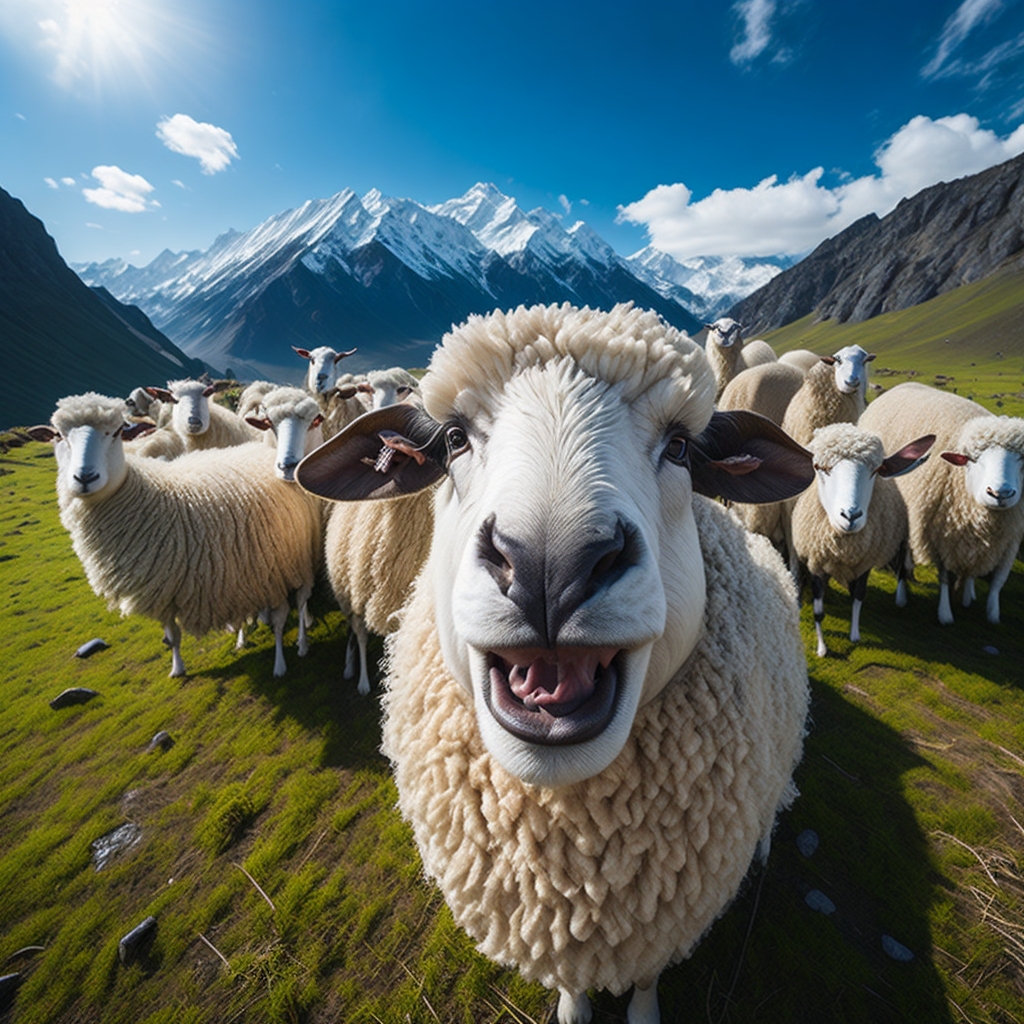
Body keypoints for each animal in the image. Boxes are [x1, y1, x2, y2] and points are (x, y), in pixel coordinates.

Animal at [30, 393, 322, 678]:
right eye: (58, 435)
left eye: (116, 432)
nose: (85, 477)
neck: (144, 493)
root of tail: (261, 450)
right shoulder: (165, 589)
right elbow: (172, 637)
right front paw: (177, 668)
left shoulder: (277, 573)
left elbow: (280, 622)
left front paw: (281, 664)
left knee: (299, 601)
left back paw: (299, 640)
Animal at [296, 302, 813, 1024]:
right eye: (452, 439)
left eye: (681, 446)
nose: (550, 569)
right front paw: (572, 1008)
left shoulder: (658, 924)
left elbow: (646, 979)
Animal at [789, 423, 934, 656]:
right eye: (820, 467)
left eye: (876, 471)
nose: (851, 516)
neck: (845, 546)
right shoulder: (816, 563)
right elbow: (819, 612)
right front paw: (822, 648)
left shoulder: (864, 563)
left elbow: (858, 597)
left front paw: (855, 635)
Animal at [859, 382, 1024, 625]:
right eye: (972, 460)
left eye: (1022, 462)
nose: (1000, 493)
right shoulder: (940, 531)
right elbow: (945, 575)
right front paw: (945, 613)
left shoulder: (1009, 539)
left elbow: (997, 582)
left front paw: (992, 613)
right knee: (903, 555)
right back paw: (902, 595)